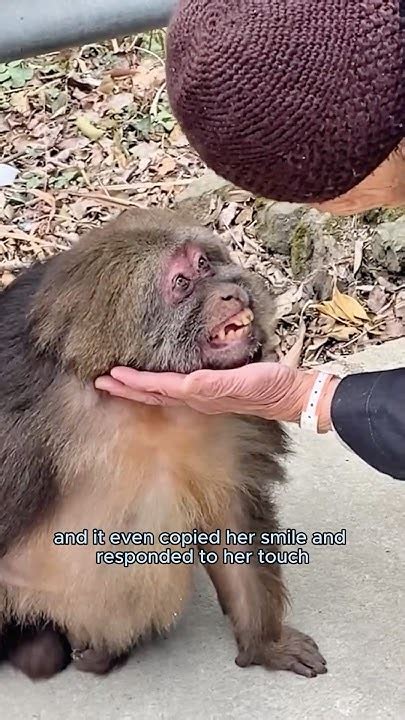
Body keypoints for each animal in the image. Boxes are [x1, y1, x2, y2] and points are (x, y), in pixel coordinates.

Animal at [0, 207, 326, 680]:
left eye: (204, 264)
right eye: (182, 283)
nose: (231, 293)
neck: (142, 405)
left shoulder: (230, 414)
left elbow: (230, 521)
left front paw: (267, 644)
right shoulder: (18, 427)